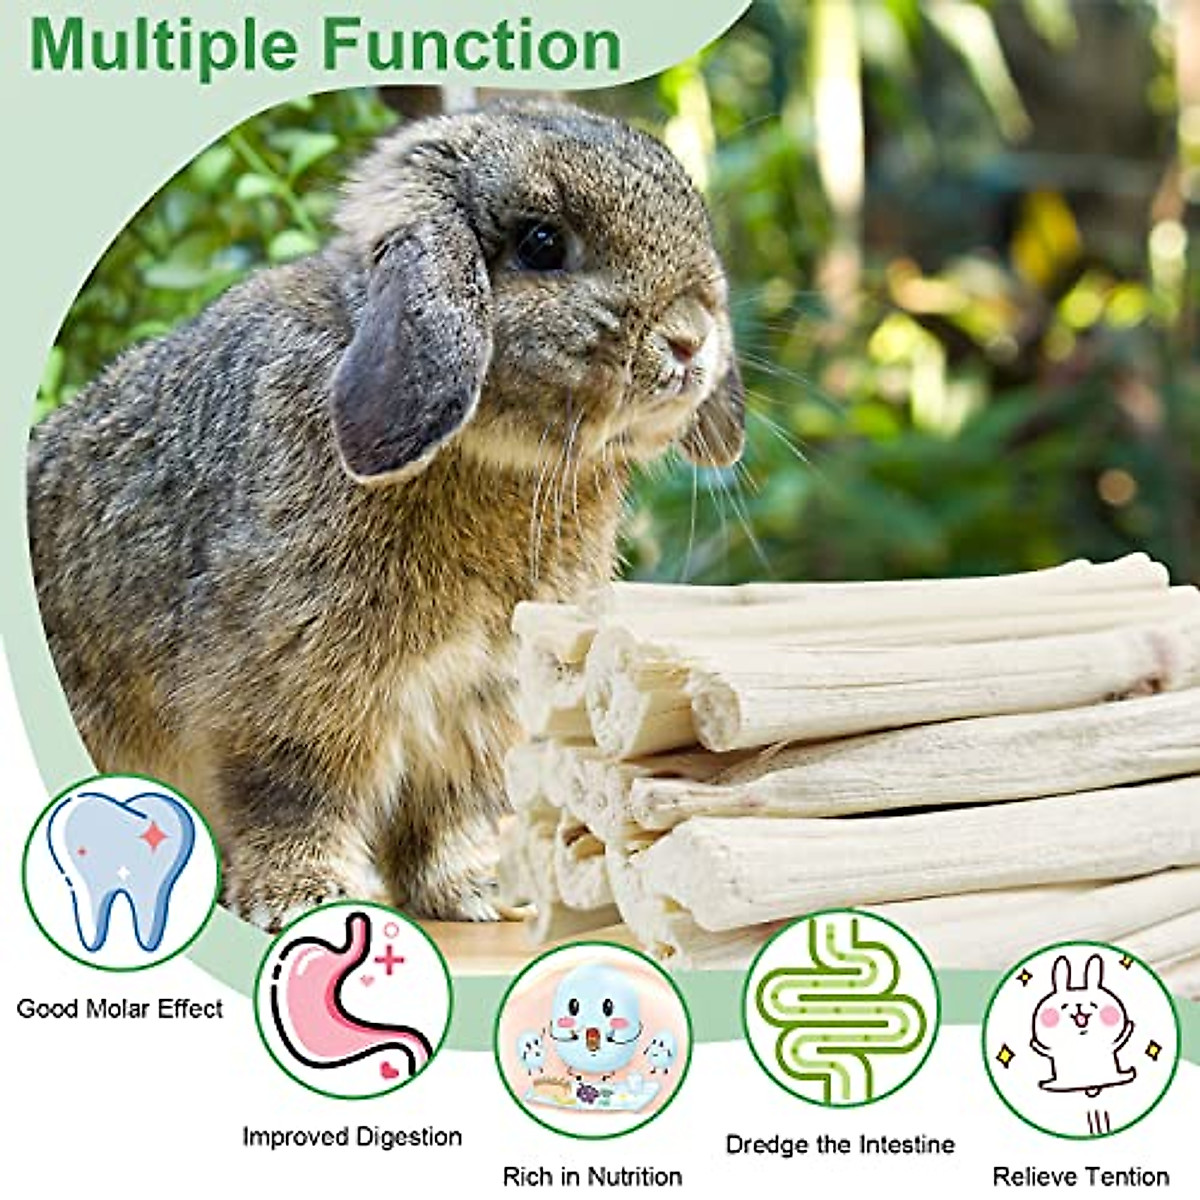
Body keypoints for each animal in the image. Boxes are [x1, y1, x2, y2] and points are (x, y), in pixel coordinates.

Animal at [26, 100, 744, 931]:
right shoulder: (293, 688)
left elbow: (450, 810)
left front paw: (479, 895)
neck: (485, 454)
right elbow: (294, 793)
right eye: (542, 244)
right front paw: (303, 899)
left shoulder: (481, 706)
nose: (690, 340)